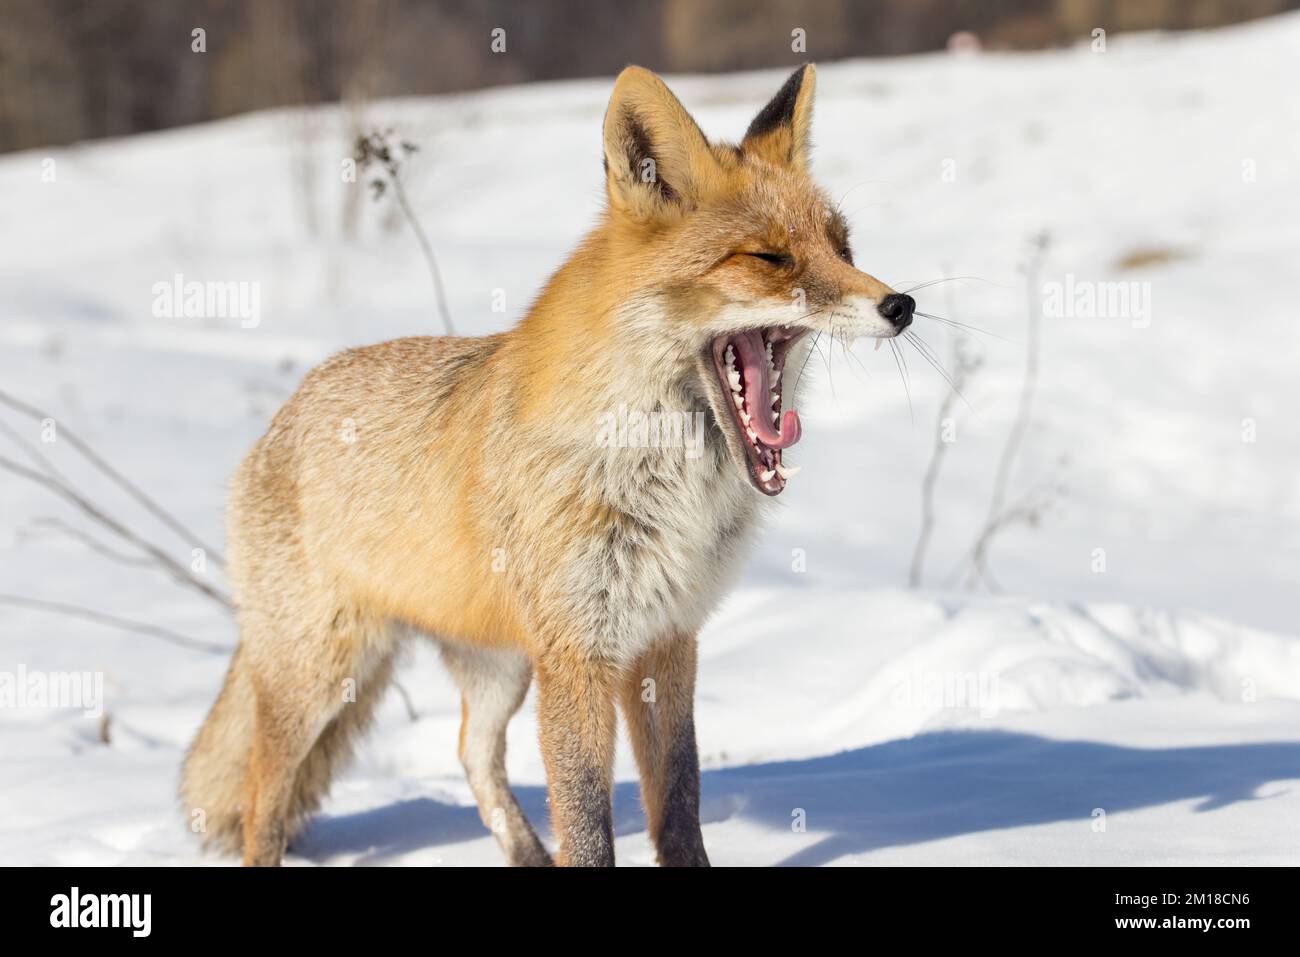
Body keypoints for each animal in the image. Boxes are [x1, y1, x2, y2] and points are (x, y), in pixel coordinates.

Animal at [180, 62, 916, 867]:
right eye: (770, 258)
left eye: (844, 247)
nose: (901, 304)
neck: (662, 480)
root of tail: (282, 414)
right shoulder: (578, 652)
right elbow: (589, 822)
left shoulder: (666, 638)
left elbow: (679, 801)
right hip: (319, 676)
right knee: (262, 794)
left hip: (497, 668)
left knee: (472, 754)